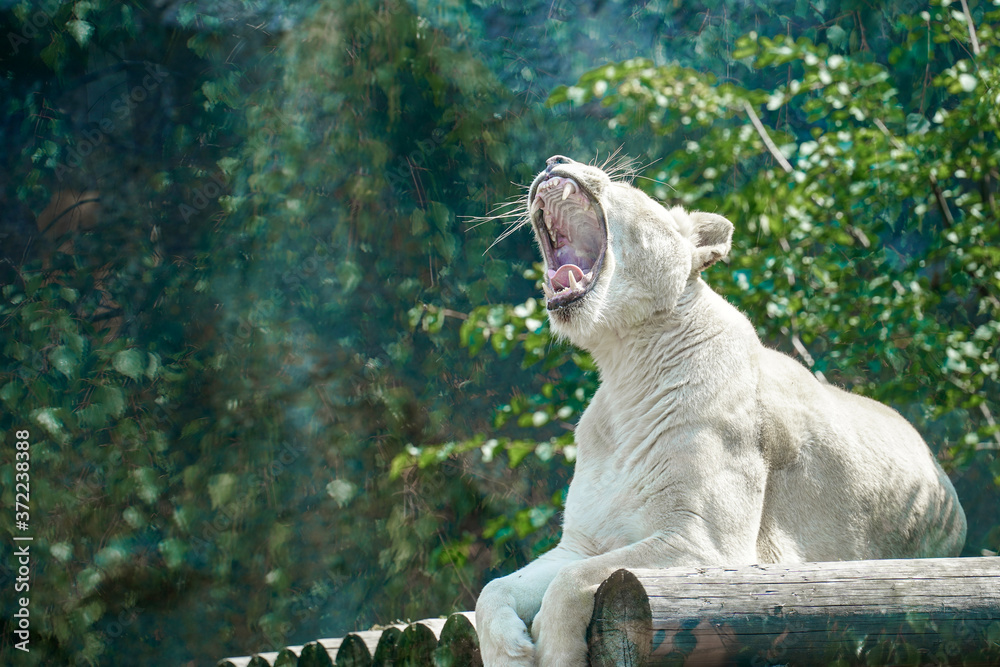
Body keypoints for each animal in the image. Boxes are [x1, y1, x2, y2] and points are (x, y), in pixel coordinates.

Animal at [474, 155, 967, 666]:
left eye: (624, 185)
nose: (555, 161)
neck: (625, 370)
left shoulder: (706, 546)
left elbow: (572, 580)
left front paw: (551, 646)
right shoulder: (580, 542)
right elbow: (495, 587)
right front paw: (509, 650)